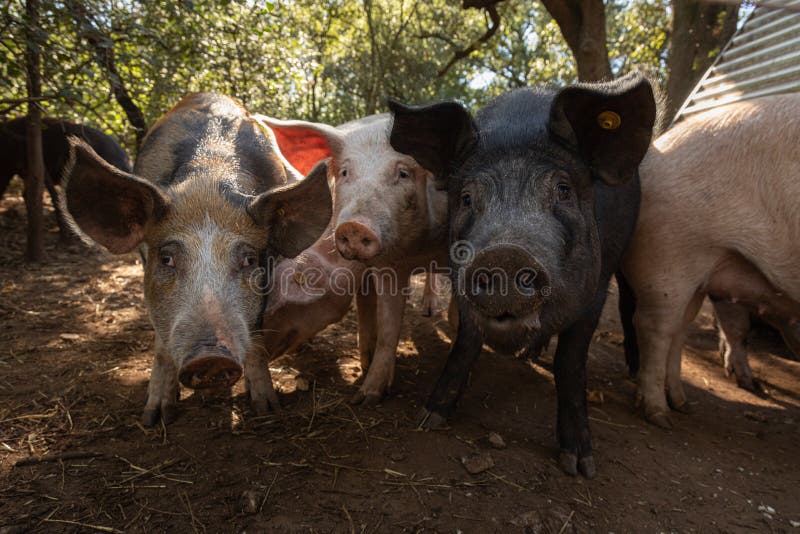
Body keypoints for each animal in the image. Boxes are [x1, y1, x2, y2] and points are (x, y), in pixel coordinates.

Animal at [61, 93, 331, 425]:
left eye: (248, 260)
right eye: (166, 258)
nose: (211, 357)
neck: (208, 179)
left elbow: (255, 336)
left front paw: (268, 410)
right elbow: (162, 343)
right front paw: (155, 418)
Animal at [259, 113, 449, 404]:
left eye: (403, 173)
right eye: (346, 172)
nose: (354, 227)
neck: (419, 249)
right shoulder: (384, 269)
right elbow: (386, 324)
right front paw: (366, 395)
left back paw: (430, 310)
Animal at [389, 72, 657, 478]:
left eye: (563, 190)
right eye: (466, 198)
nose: (504, 254)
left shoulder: (597, 287)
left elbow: (570, 361)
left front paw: (579, 465)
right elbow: (466, 342)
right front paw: (428, 418)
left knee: (629, 304)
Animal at [621, 94, 800, 429]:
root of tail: (656, 149)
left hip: (702, 273)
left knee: (679, 329)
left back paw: (682, 405)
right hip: (670, 255)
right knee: (654, 326)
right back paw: (660, 416)